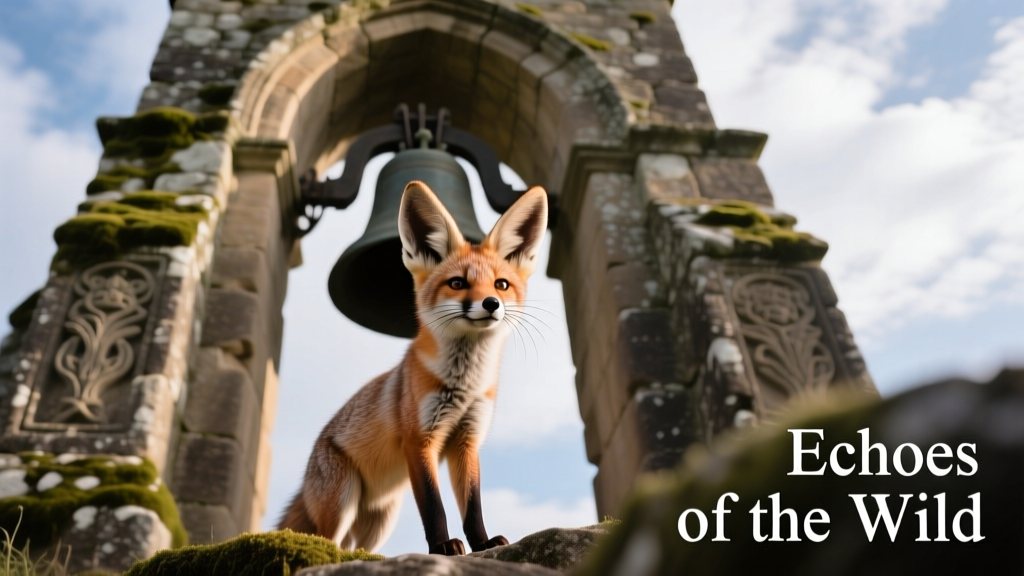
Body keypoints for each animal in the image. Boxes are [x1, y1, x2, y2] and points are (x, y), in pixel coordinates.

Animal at [278, 180, 548, 555]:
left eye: (501, 285)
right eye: (457, 283)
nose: (491, 304)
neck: (463, 384)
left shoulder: (466, 441)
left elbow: (473, 506)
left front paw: (482, 544)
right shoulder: (420, 440)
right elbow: (434, 508)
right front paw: (442, 548)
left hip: (381, 518)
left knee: (357, 549)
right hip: (343, 501)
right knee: (329, 542)